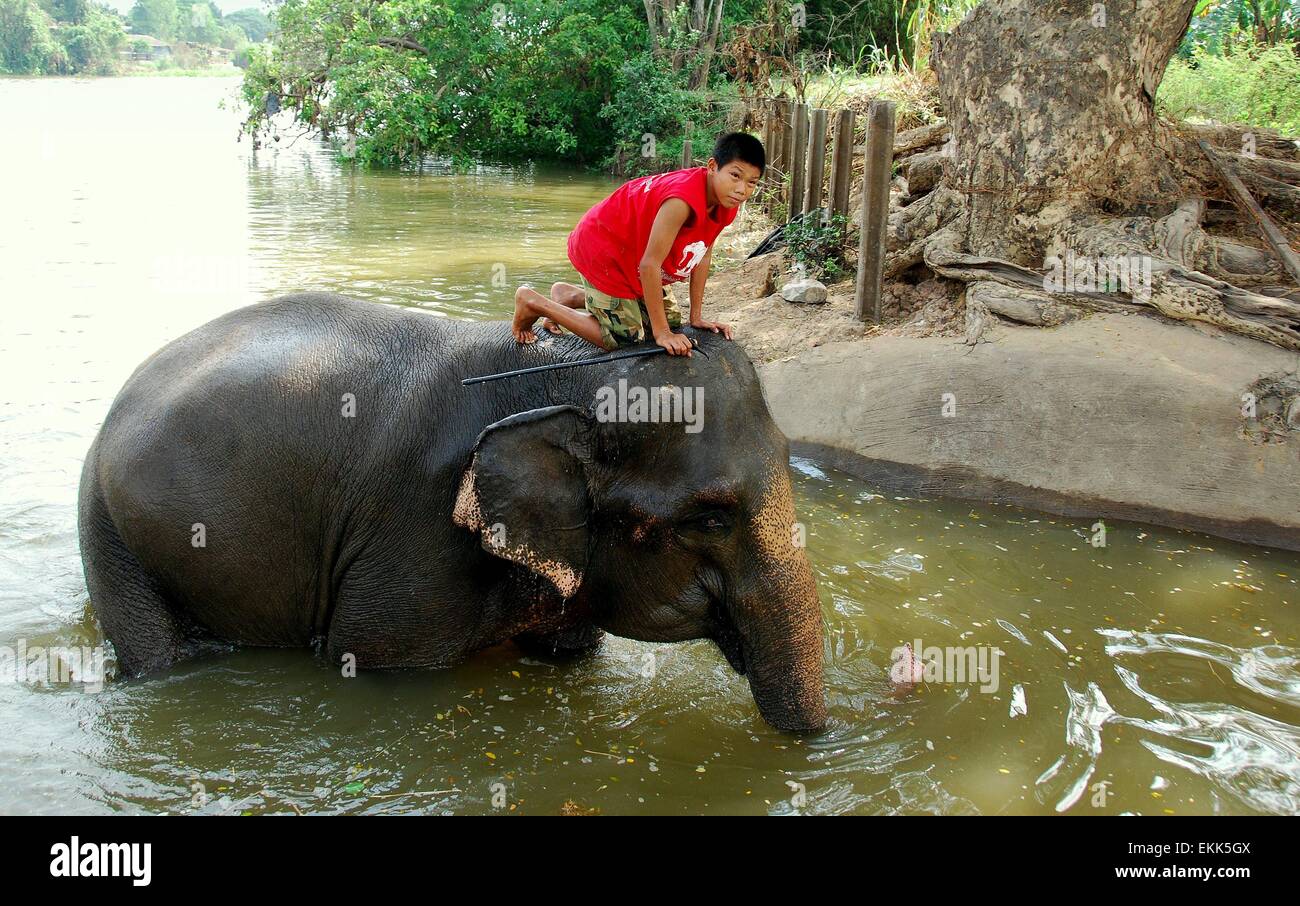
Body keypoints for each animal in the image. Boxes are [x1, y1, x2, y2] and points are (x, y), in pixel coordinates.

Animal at [77, 292, 827, 732]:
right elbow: (372, 660)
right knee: (156, 652)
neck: (568, 370)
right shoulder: (415, 536)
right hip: (111, 532)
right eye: (712, 519)